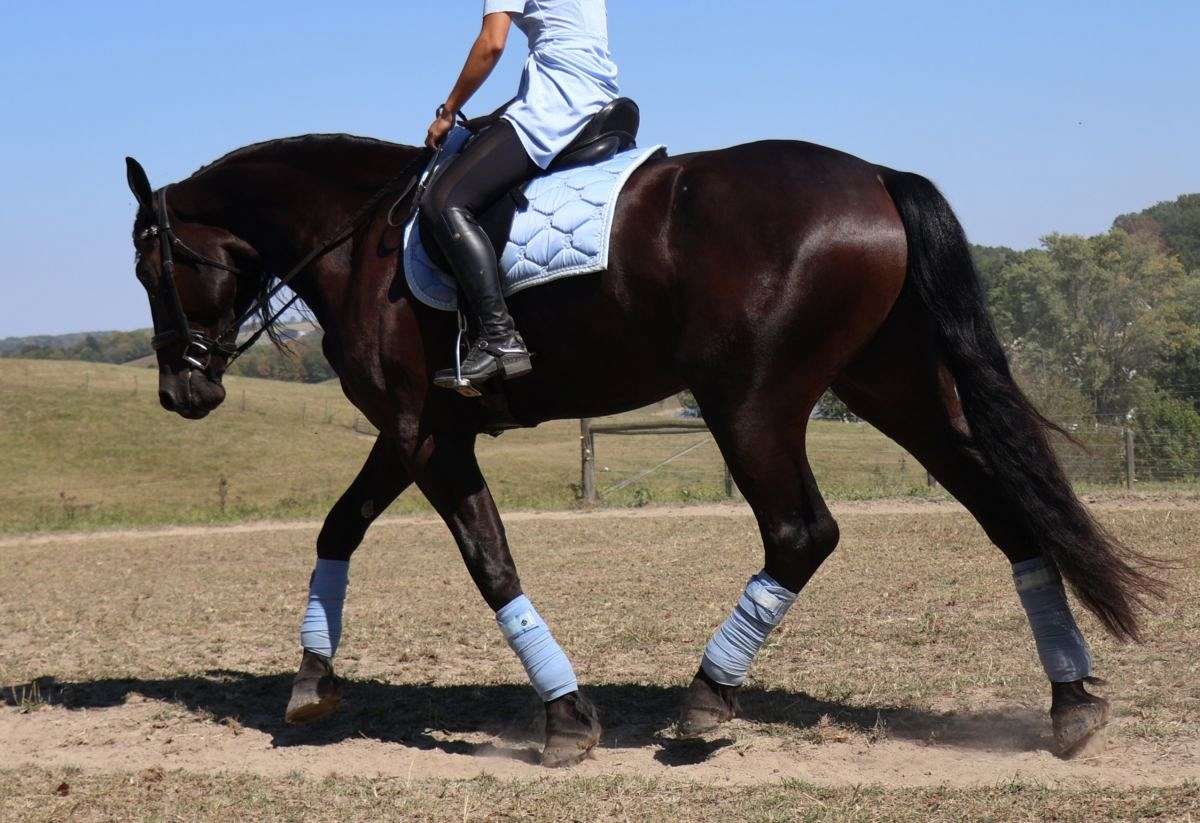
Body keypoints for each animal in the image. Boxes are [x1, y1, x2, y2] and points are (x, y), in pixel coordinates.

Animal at [124, 132, 1162, 766]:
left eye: (149, 266)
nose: (181, 392)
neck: (362, 241)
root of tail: (871, 176)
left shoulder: (424, 435)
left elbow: (490, 561)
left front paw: (565, 718)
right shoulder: (418, 430)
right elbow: (339, 527)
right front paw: (310, 681)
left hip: (751, 402)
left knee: (802, 534)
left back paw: (706, 700)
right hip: (891, 388)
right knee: (1004, 508)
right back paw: (1073, 699)